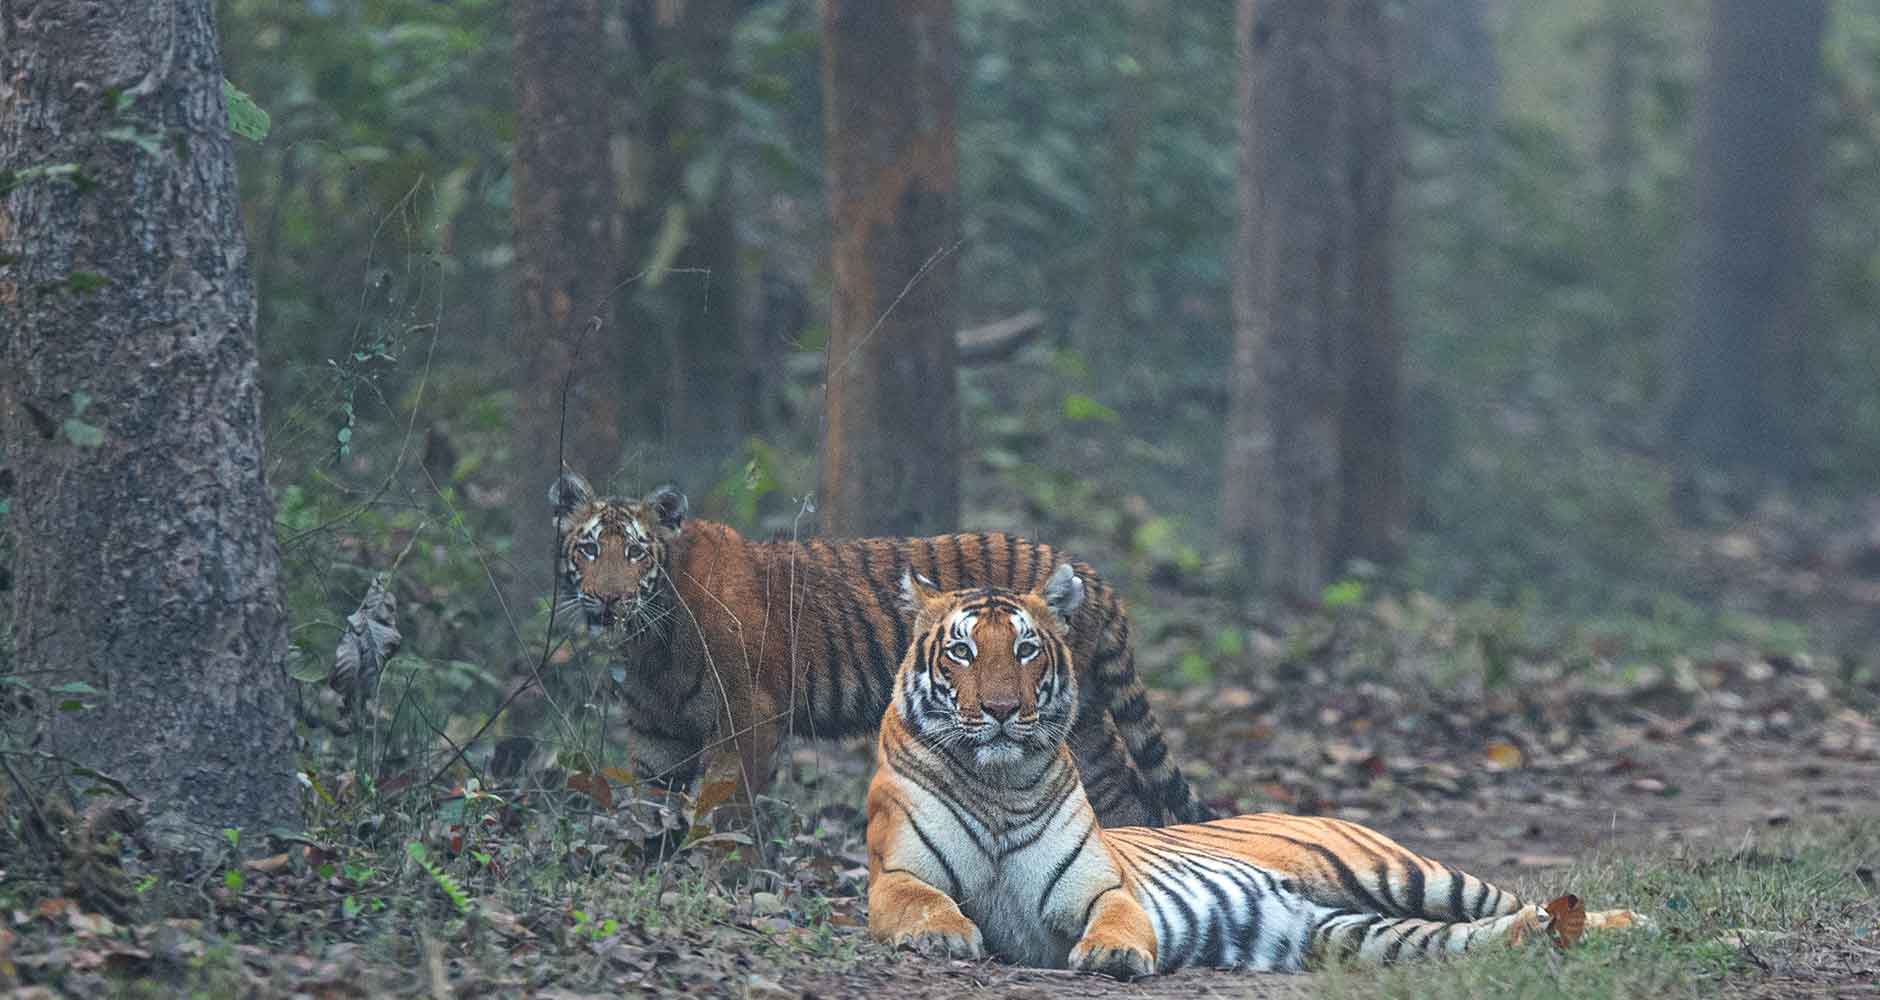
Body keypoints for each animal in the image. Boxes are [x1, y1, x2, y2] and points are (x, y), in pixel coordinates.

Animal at [545, 470, 1208, 828]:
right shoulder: (657, 731)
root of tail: (1091, 574)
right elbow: (647, 804)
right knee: (1125, 793)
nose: (607, 600)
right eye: (588, 549)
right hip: (1082, 720)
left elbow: (725, 806)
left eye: (635, 552)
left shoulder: (748, 717)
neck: (650, 637)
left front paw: (716, 877)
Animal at [865, 569, 1645, 977]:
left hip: (1411, 875)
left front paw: (1114, 953)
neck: (998, 782)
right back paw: (1552, 932)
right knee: (1491, 932)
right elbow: (920, 901)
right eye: (962, 652)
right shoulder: (894, 874)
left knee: (1514, 898)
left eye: (1027, 650)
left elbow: (1118, 915)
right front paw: (943, 936)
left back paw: (1625, 921)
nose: (1002, 710)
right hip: (1357, 931)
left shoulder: (1103, 886)